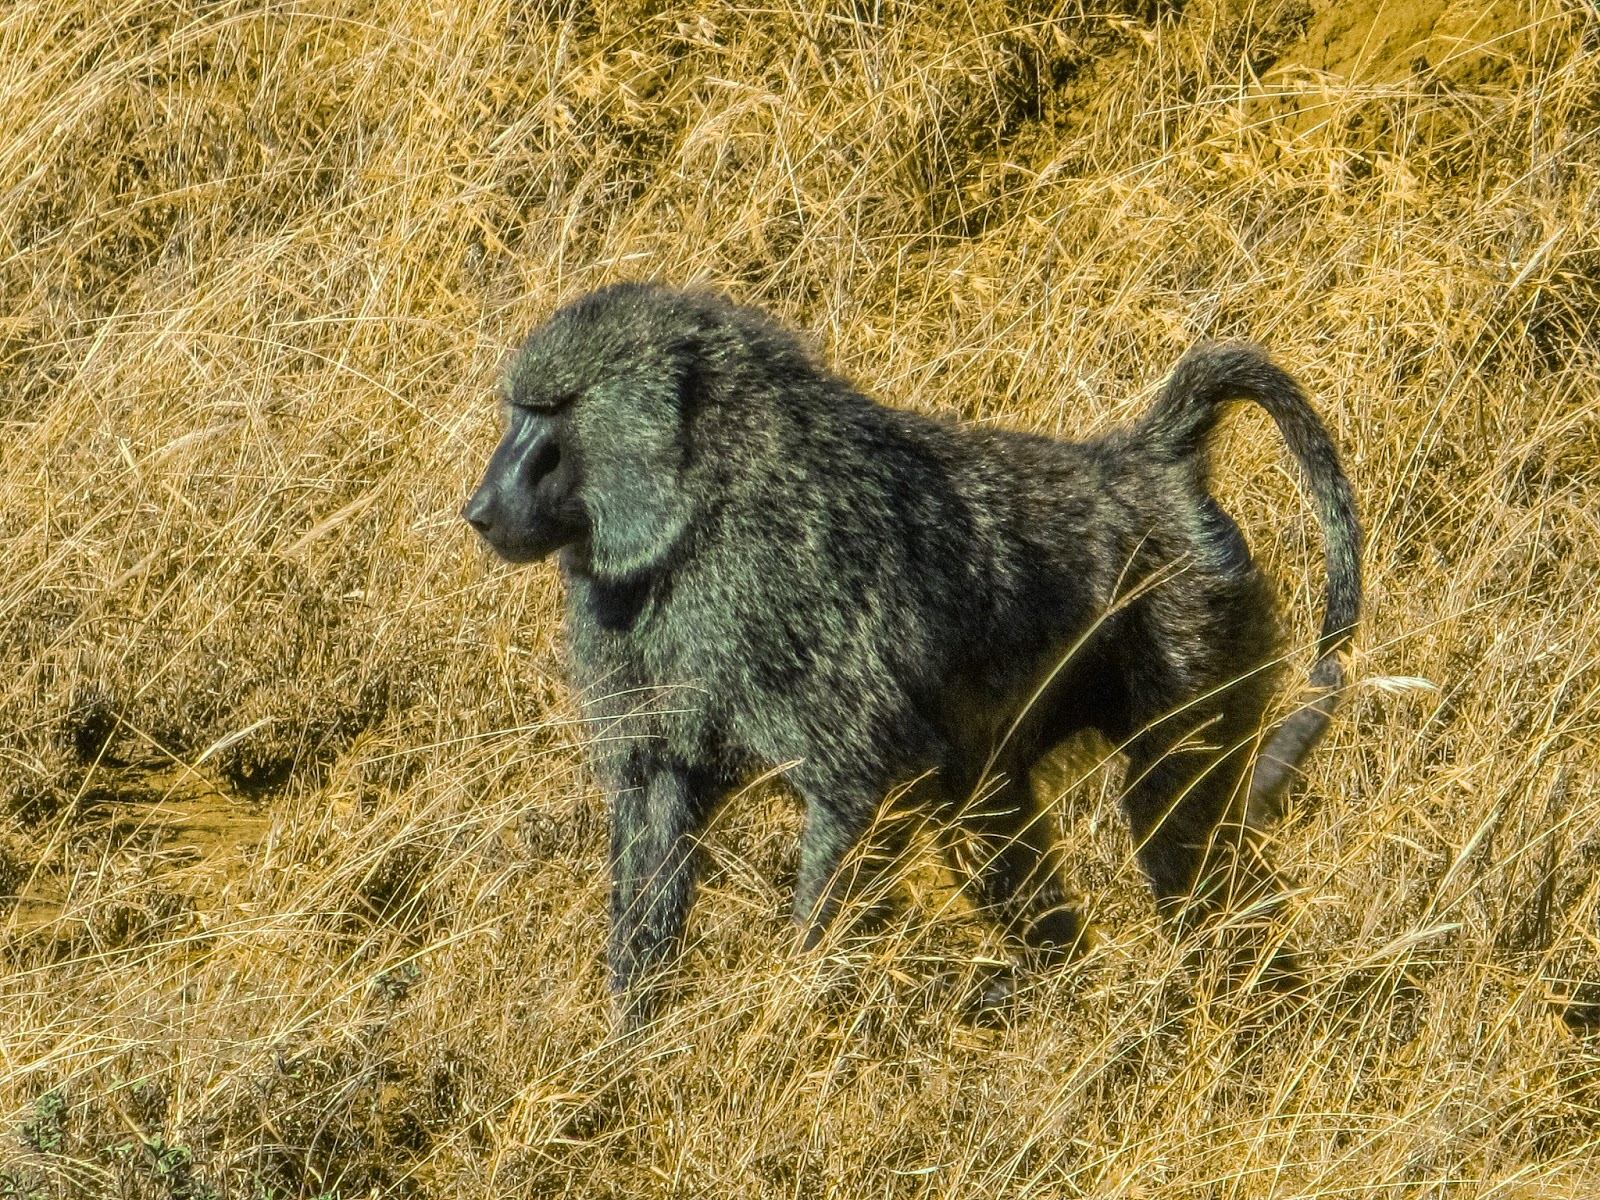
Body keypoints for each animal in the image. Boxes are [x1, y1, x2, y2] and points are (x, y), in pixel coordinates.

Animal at [462, 282, 1361, 1028]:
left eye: (547, 415)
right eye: (521, 411)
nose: (480, 510)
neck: (705, 501)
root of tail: (1146, 463)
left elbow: (863, 781)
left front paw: (797, 1020)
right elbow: (653, 801)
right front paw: (629, 1053)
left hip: (1192, 629)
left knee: (1180, 844)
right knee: (1003, 826)